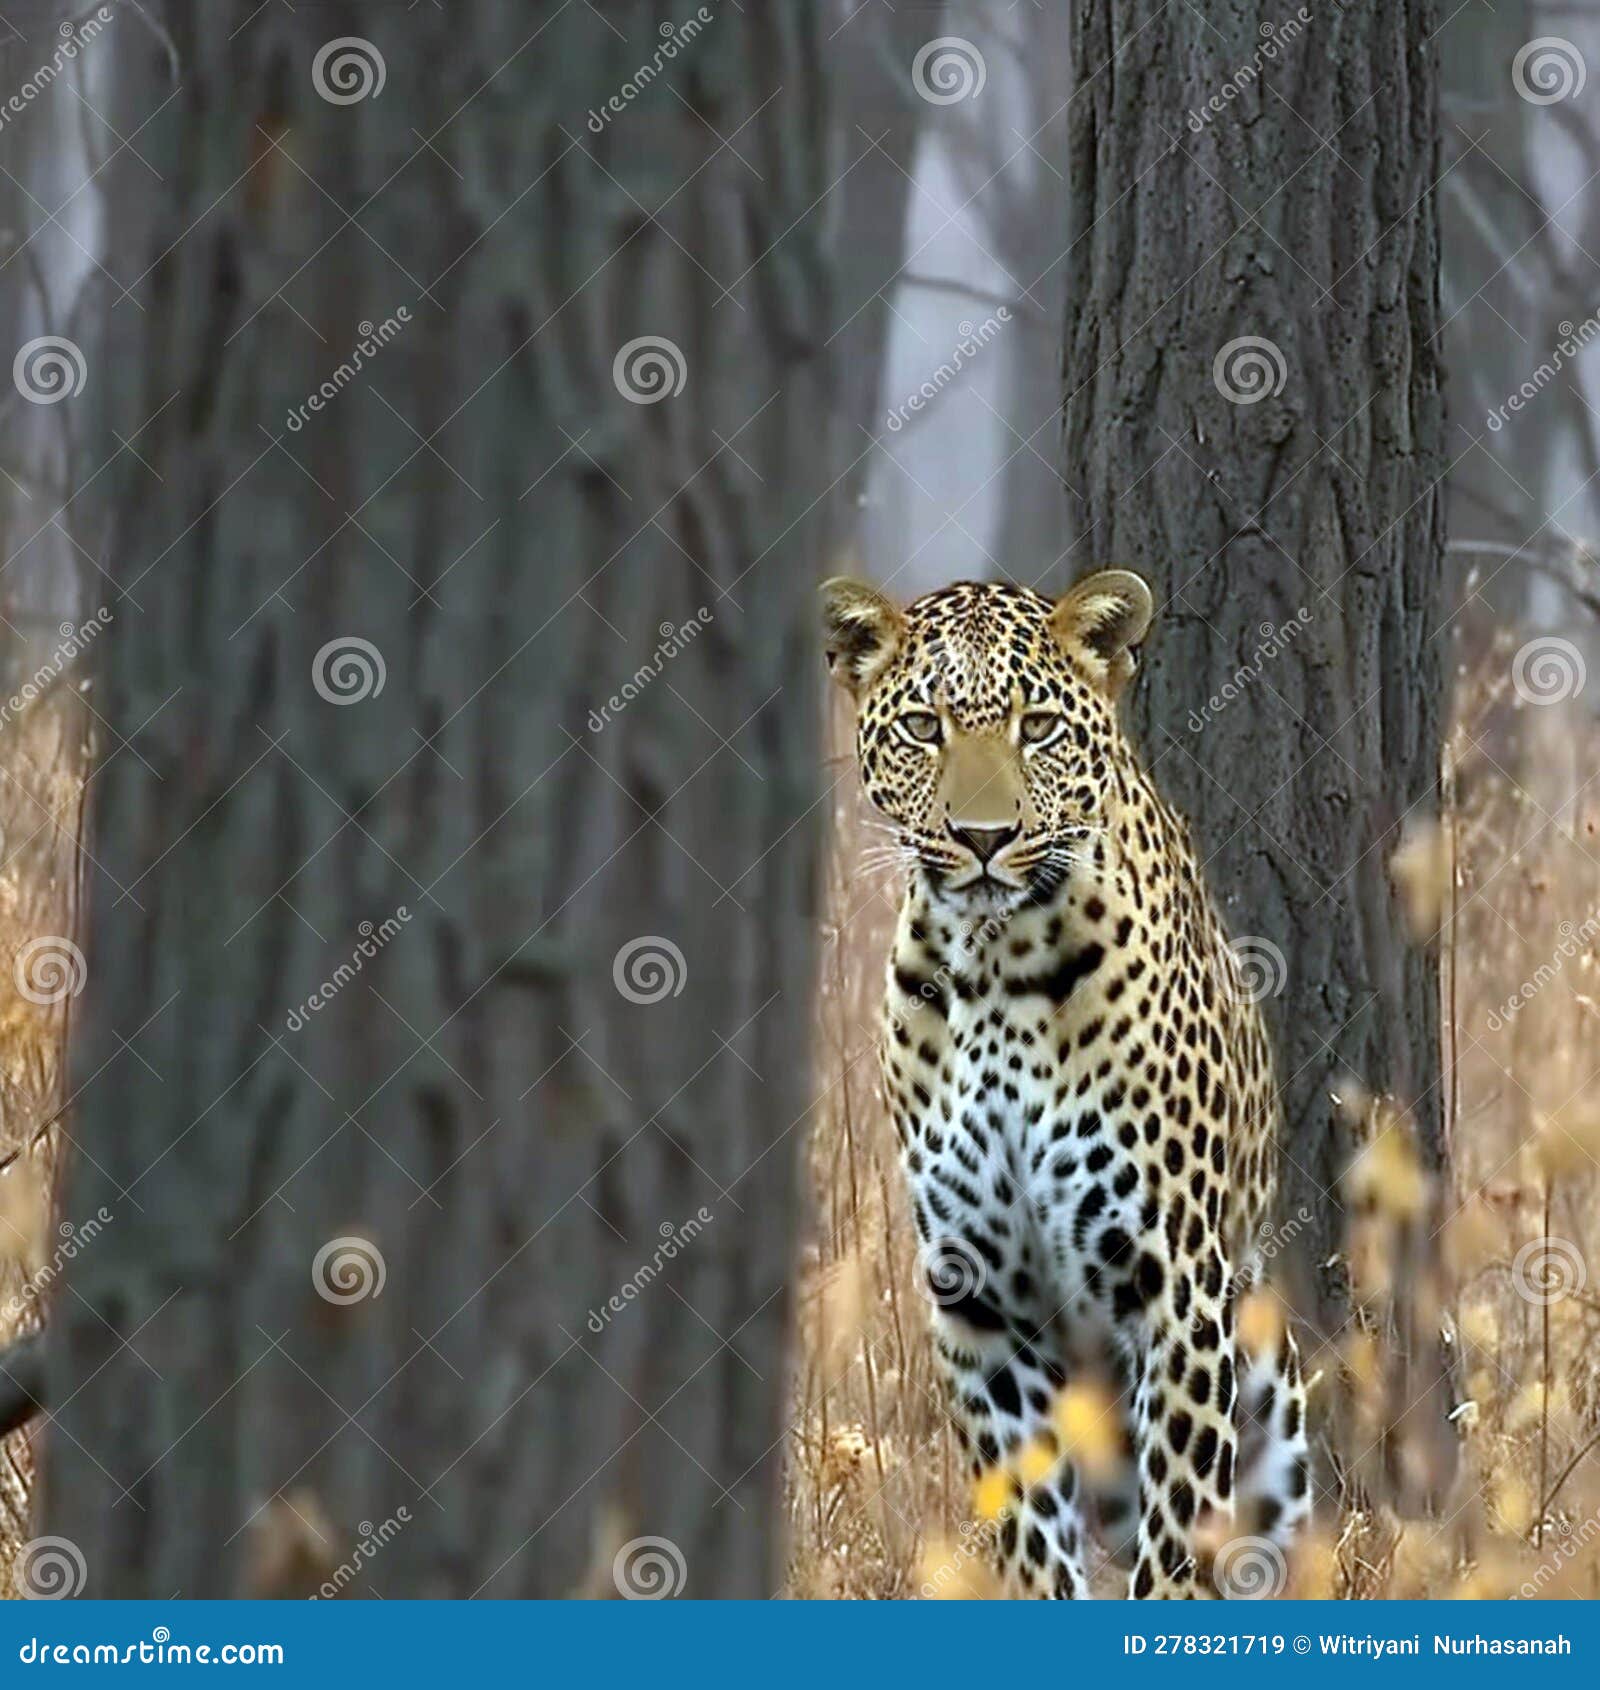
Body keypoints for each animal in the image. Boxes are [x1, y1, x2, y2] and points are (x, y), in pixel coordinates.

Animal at [822, 569, 1311, 1599]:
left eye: (1038, 726)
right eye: (922, 726)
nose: (981, 839)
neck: (995, 967)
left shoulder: (1175, 1285)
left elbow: (1178, 1537)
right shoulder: (979, 1303)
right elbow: (1031, 1535)